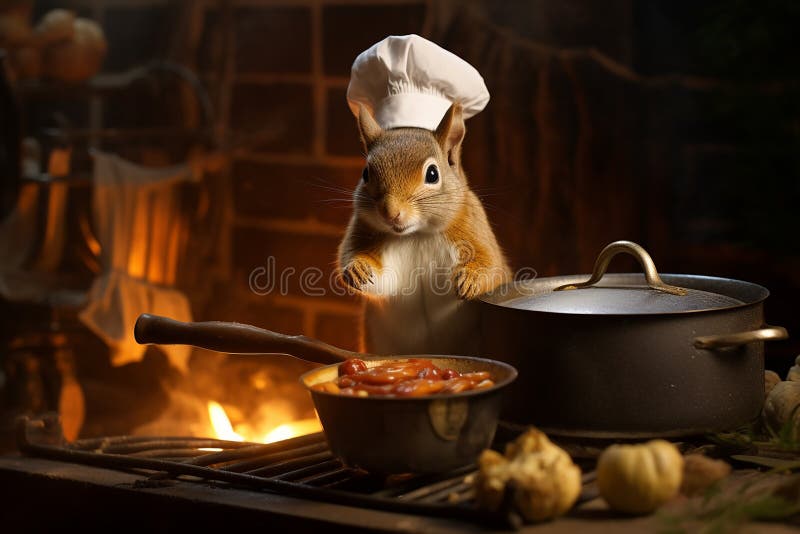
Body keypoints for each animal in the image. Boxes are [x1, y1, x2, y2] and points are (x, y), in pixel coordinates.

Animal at [337, 103, 511, 355]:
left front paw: (470, 279)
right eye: (366, 173)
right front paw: (357, 268)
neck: (416, 235)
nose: (391, 212)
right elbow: (379, 281)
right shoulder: (363, 230)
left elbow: (491, 265)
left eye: (432, 174)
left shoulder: (474, 230)